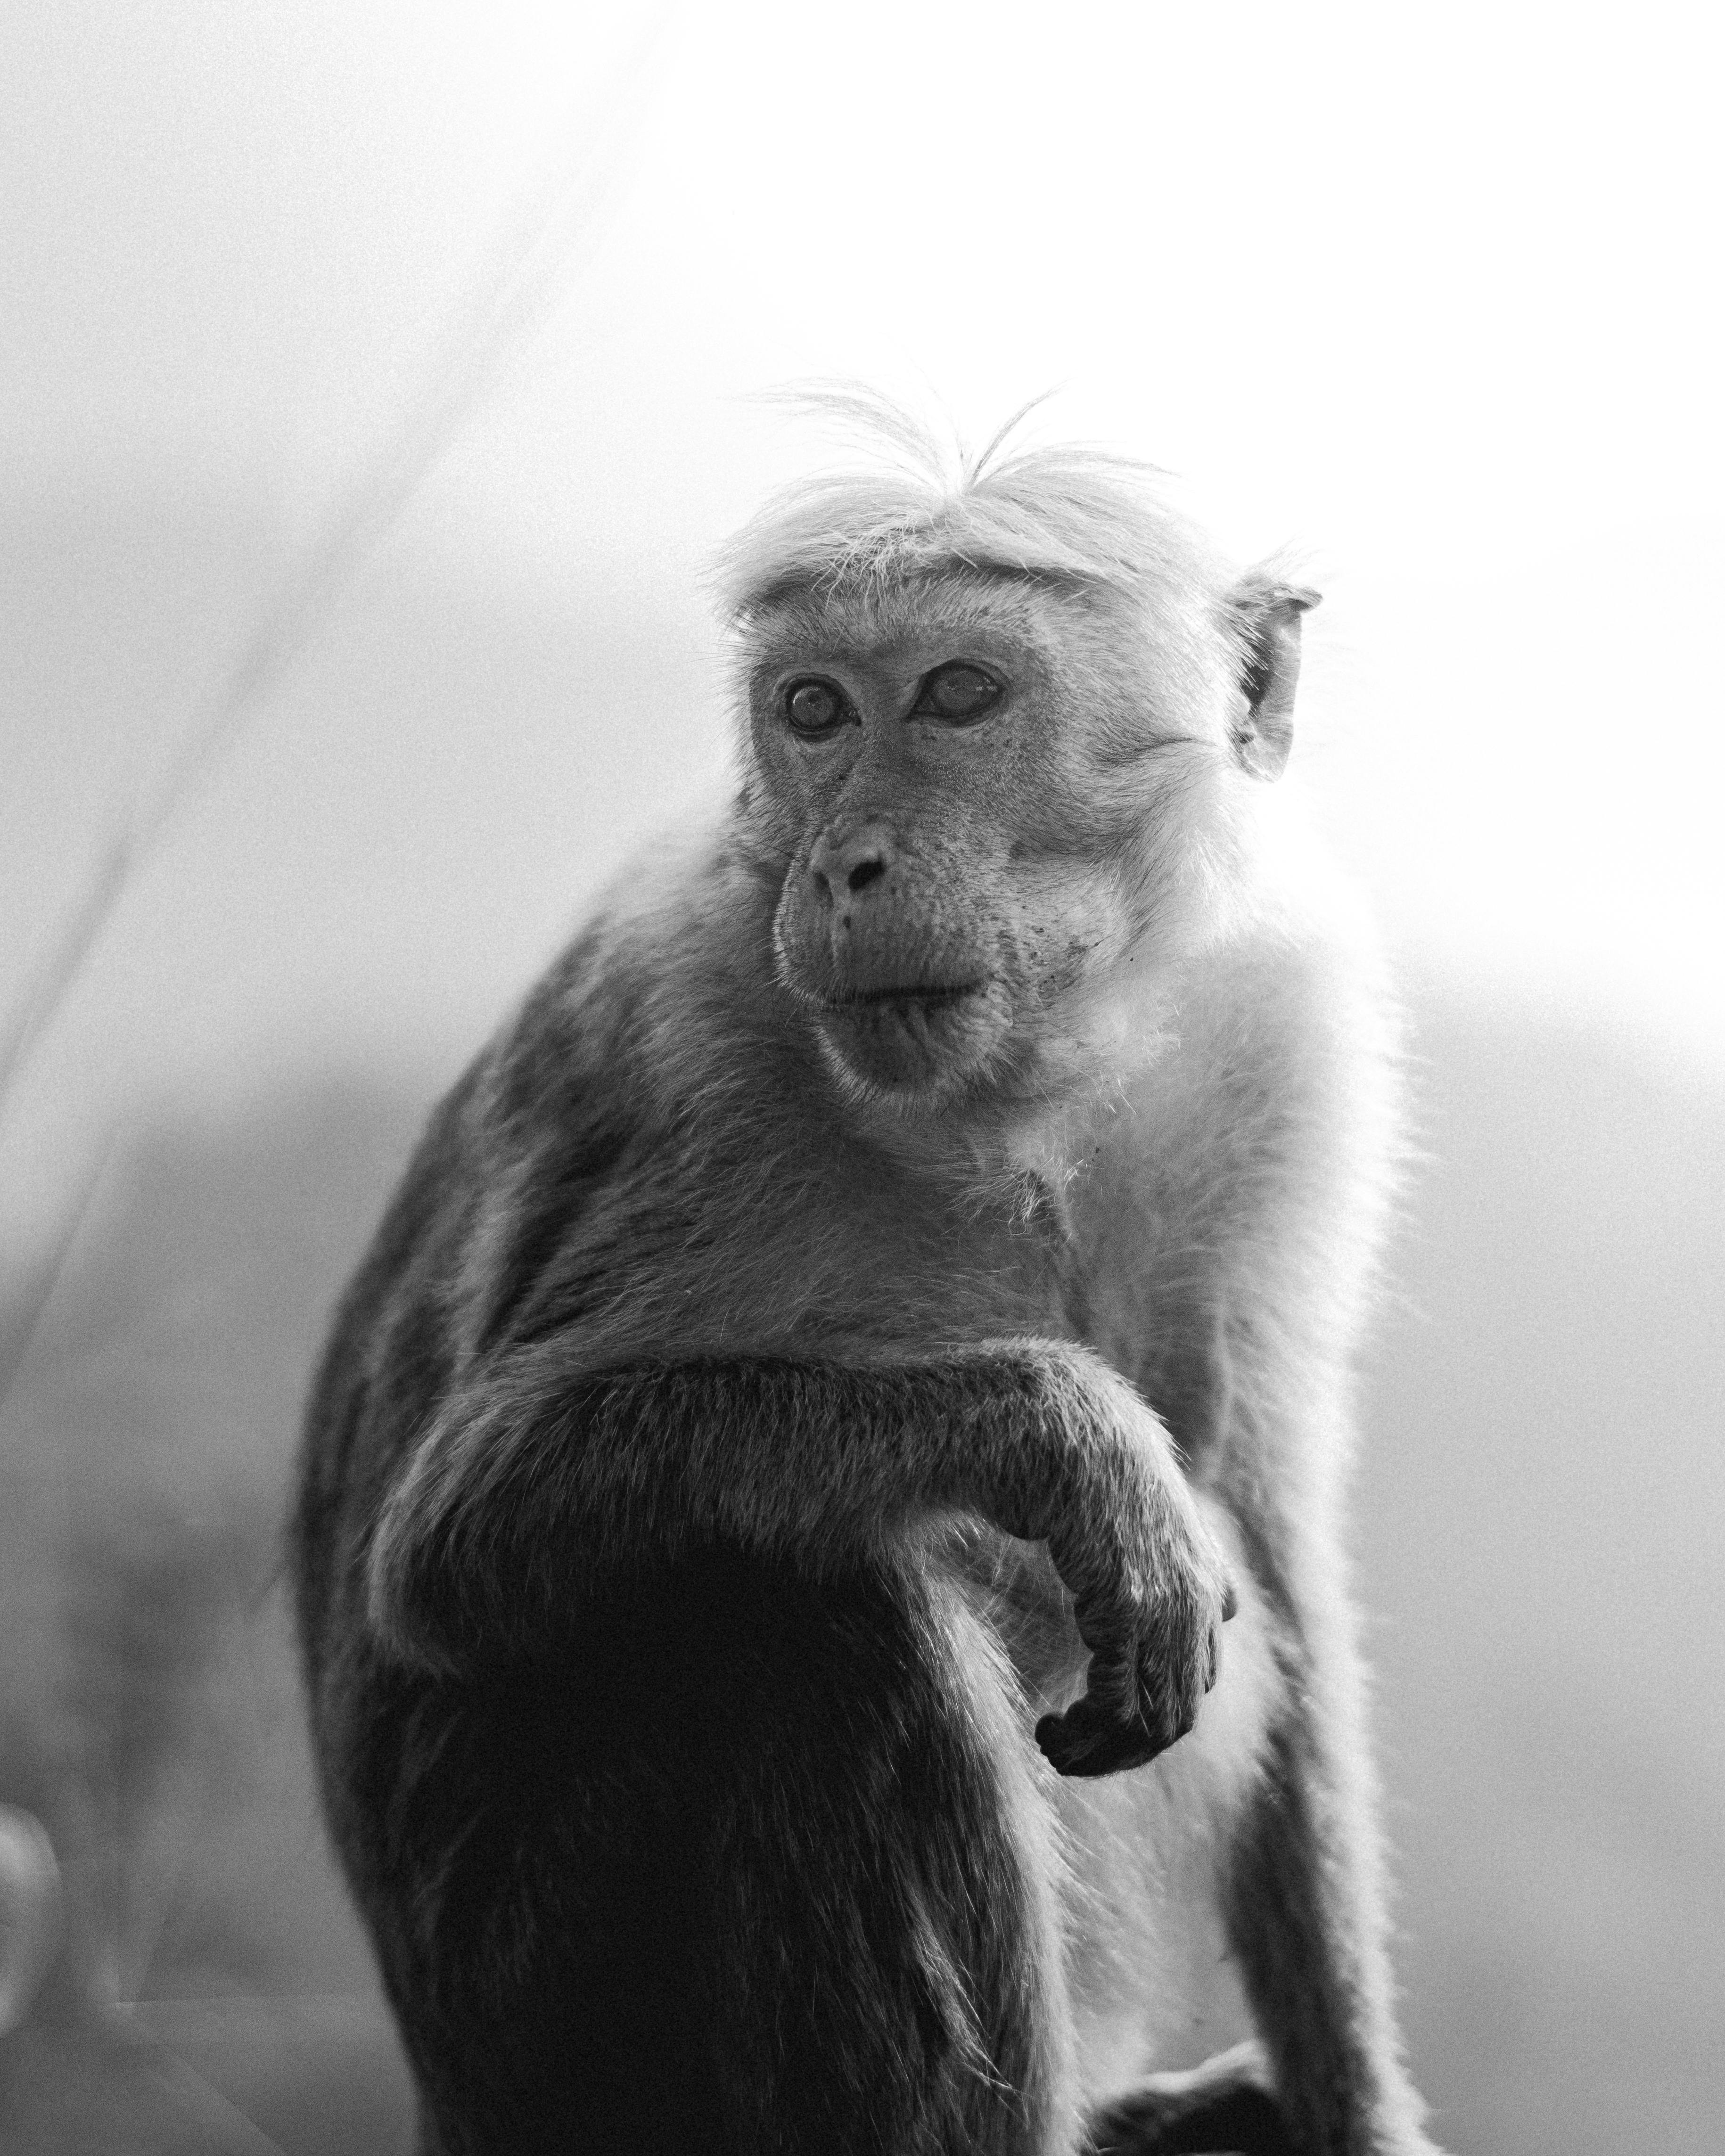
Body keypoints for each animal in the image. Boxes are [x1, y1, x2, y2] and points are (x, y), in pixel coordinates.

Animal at [293, 394, 1440, 2156]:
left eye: (958, 694)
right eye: (815, 711)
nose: (845, 867)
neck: (1023, 1082)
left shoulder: (1283, 1030)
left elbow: (1273, 1538)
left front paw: (1354, 2101)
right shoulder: (691, 1041)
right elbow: (451, 1538)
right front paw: (1069, 1440)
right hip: (538, 1997)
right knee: (813, 1611)